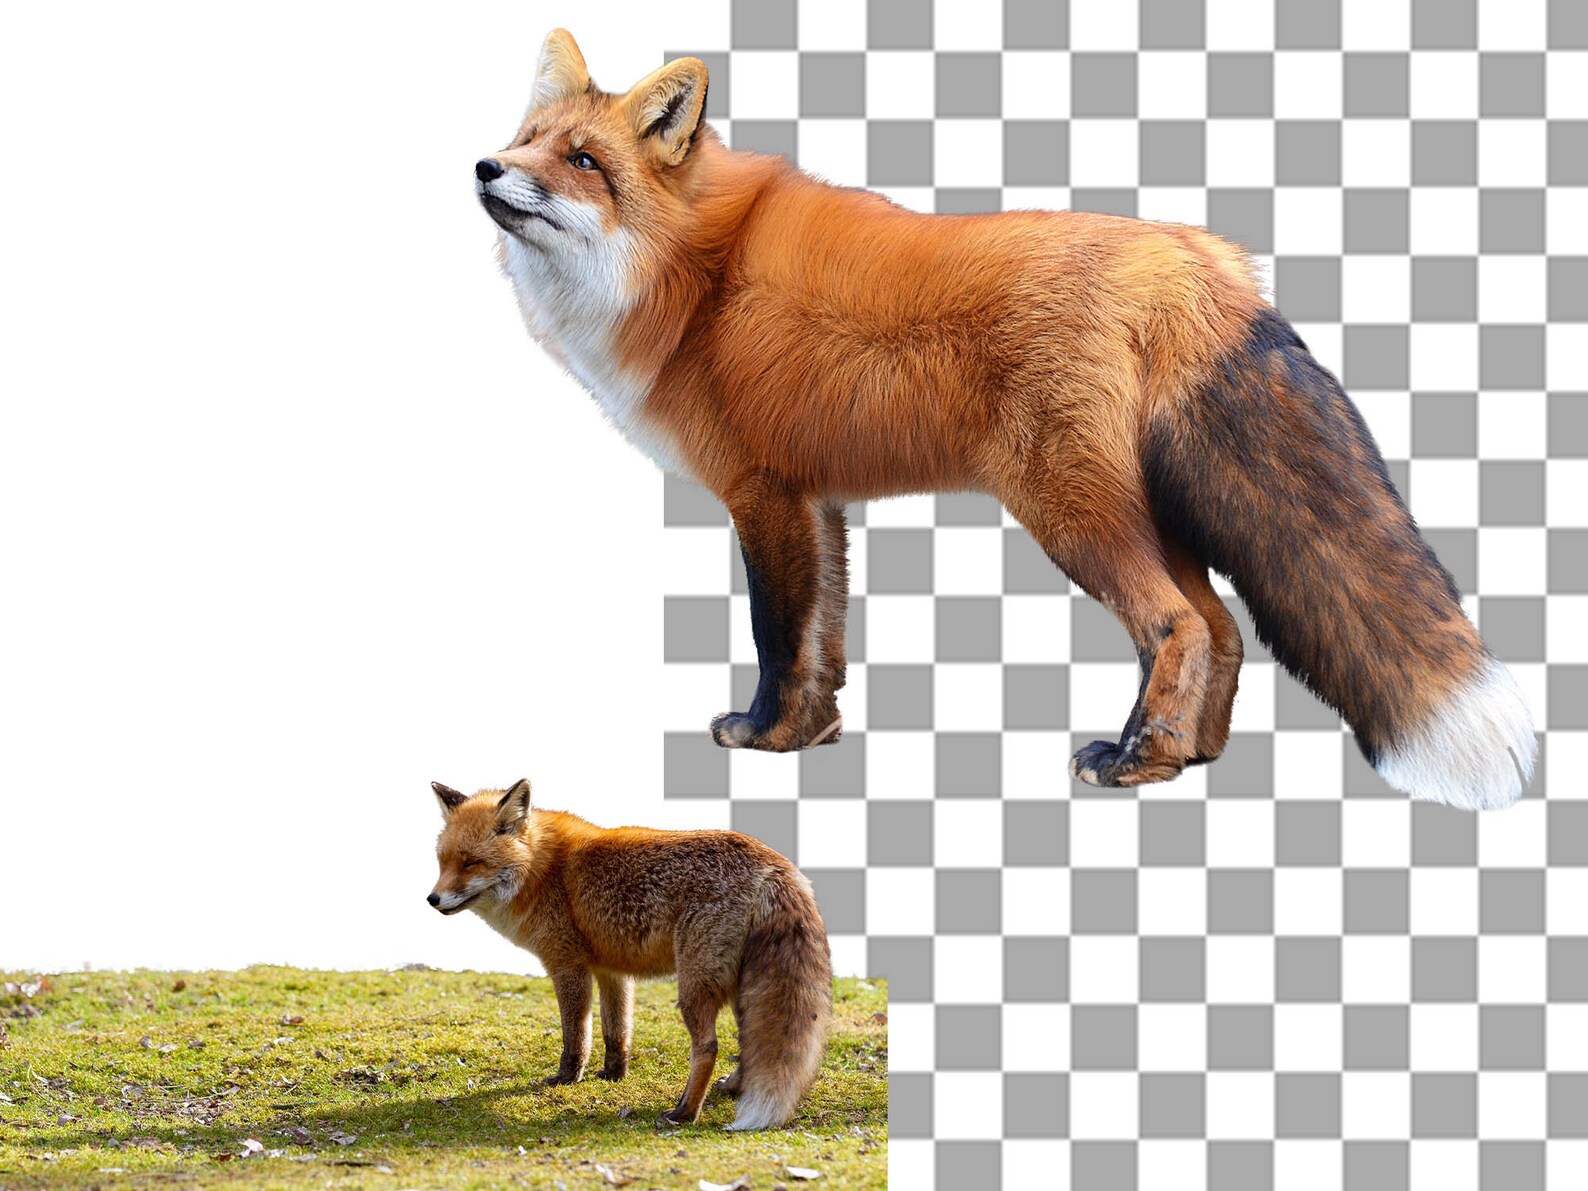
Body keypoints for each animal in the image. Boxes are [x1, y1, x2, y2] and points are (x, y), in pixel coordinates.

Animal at [426, 779, 832, 1129]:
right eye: (442, 862)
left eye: (470, 863)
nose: (432, 899)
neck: (541, 870)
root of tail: (776, 864)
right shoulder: (611, 970)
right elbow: (616, 1031)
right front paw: (613, 1074)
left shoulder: (568, 964)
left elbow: (576, 1035)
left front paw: (567, 1078)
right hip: (740, 985)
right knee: (748, 1043)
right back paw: (732, 1087)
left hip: (695, 986)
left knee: (708, 1047)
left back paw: (685, 1112)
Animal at [472, 30, 1537, 810]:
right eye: (526, 139)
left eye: (581, 160)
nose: (484, 166)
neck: (693, 277)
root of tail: (1195, 260)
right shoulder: (818, 501)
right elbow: (825, 643)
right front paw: (813, 735)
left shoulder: (761, 492)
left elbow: (777, 634)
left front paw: (765, 736)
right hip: (1146, 513)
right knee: (1223, 629)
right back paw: (1188, 756)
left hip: (1069, 511)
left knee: (1177, 625)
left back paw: (1135, 761)